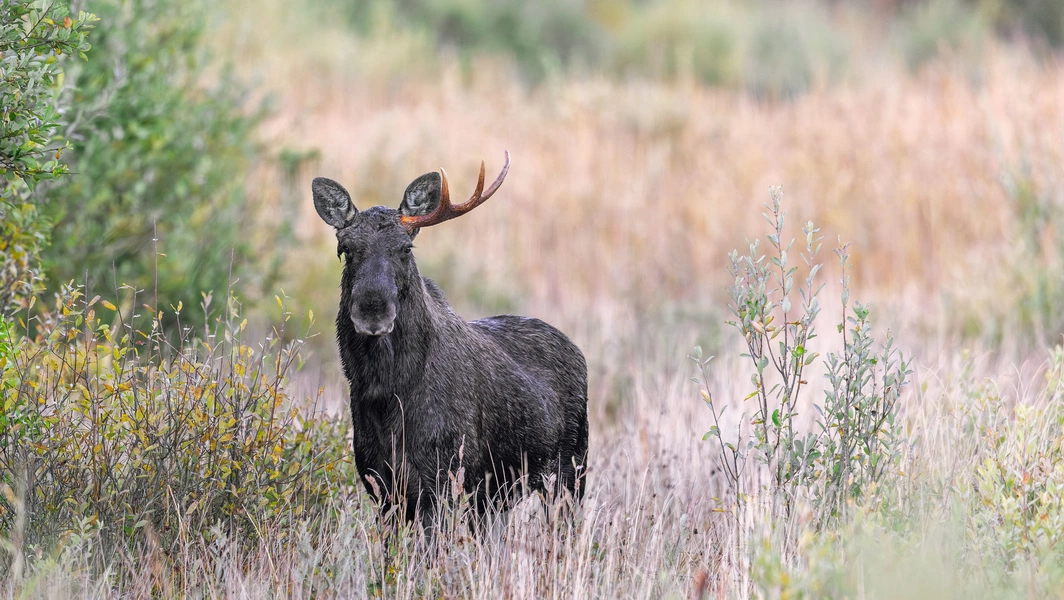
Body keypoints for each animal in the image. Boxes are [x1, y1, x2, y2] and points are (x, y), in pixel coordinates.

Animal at [311, 151, 588, 526]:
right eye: (345, 249)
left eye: (406, 248)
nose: (372, 311)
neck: (387, 393)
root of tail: (576, 351)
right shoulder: (379, 483)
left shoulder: (443, 474)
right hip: (495, 496)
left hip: (570, 469)